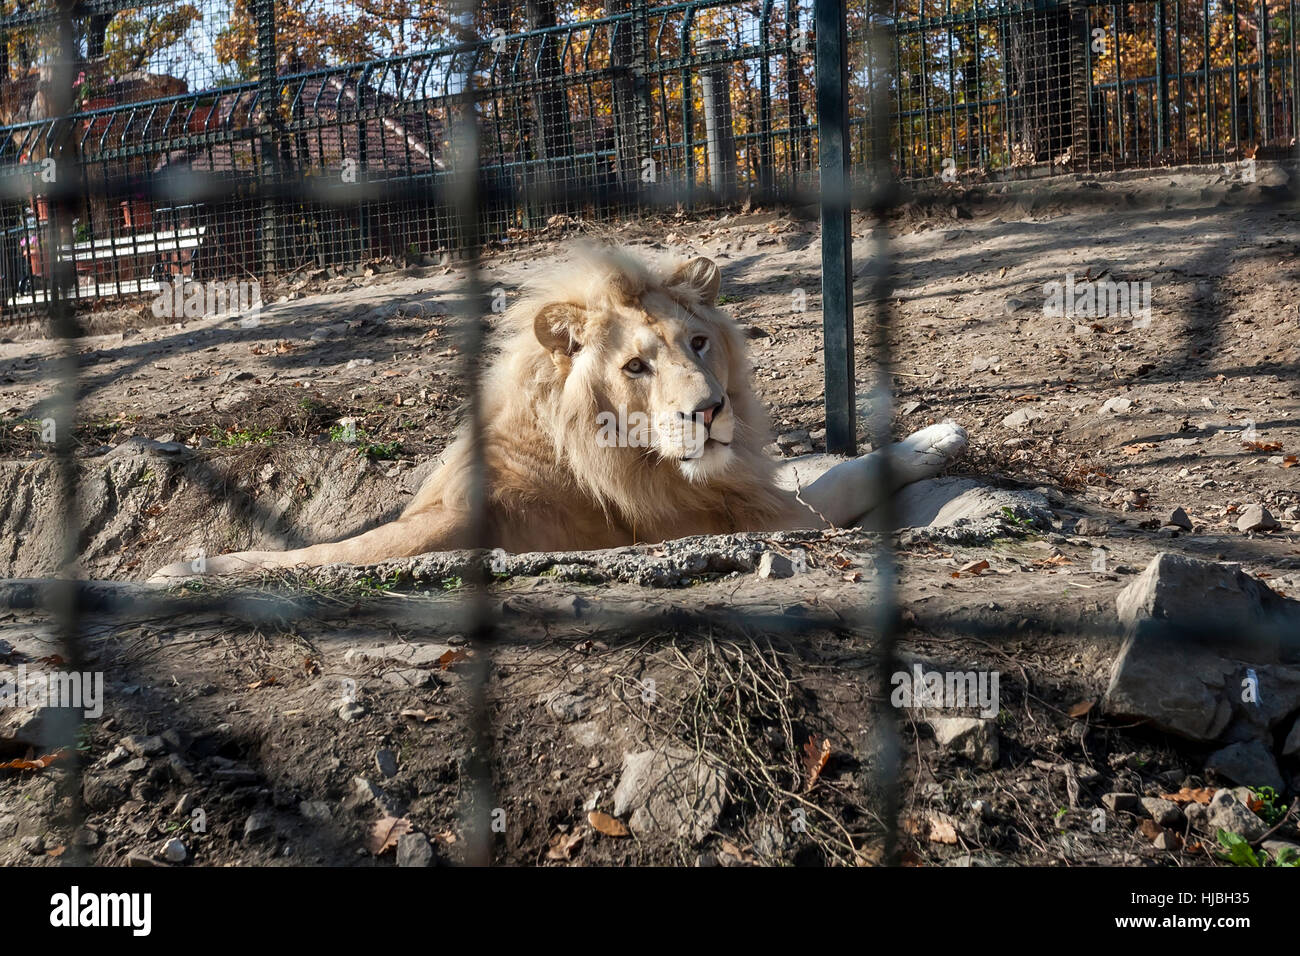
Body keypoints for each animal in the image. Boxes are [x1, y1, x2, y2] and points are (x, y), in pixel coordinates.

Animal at [150, 250, 967, 580]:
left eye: (698, 342)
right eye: (635, 367)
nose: (710, 412)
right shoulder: (748, 517)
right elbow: (841, 481)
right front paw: (937, 437)